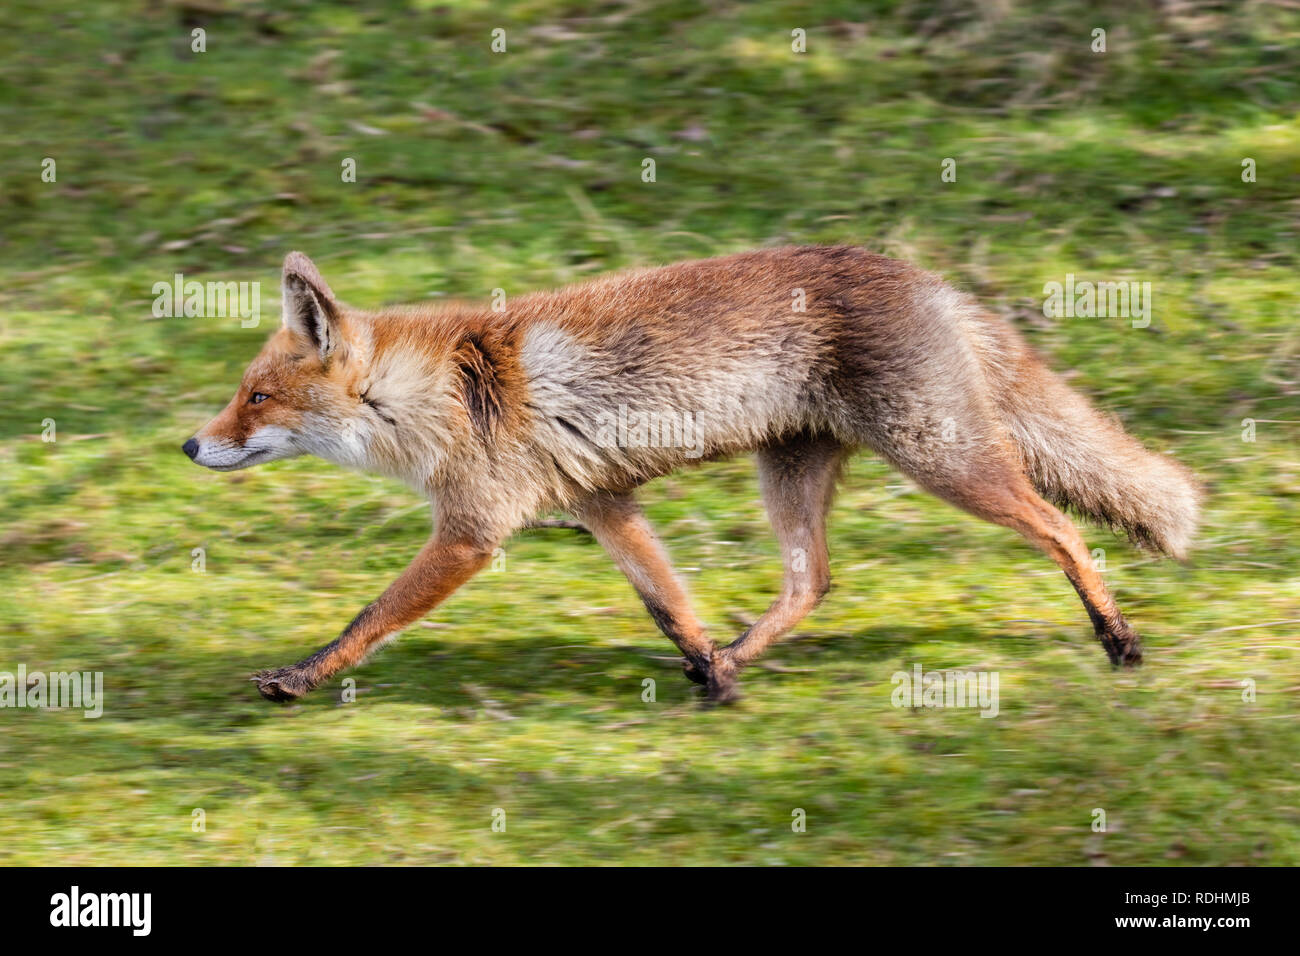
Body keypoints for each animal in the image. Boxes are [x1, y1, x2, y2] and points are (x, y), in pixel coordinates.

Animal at [185, 247, 1202, 704]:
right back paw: (738, 661)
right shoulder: (604, 505)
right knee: (810, 583)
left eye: (257, 398)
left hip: (943, 460)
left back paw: (1119, 640)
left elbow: (368, 617)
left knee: (1063, 529)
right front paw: (712, 670)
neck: (432, 394)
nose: (191, 448)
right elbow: (669, 604)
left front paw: (299, 678)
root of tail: (926, 278)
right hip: (794, 476)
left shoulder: (472, 532)